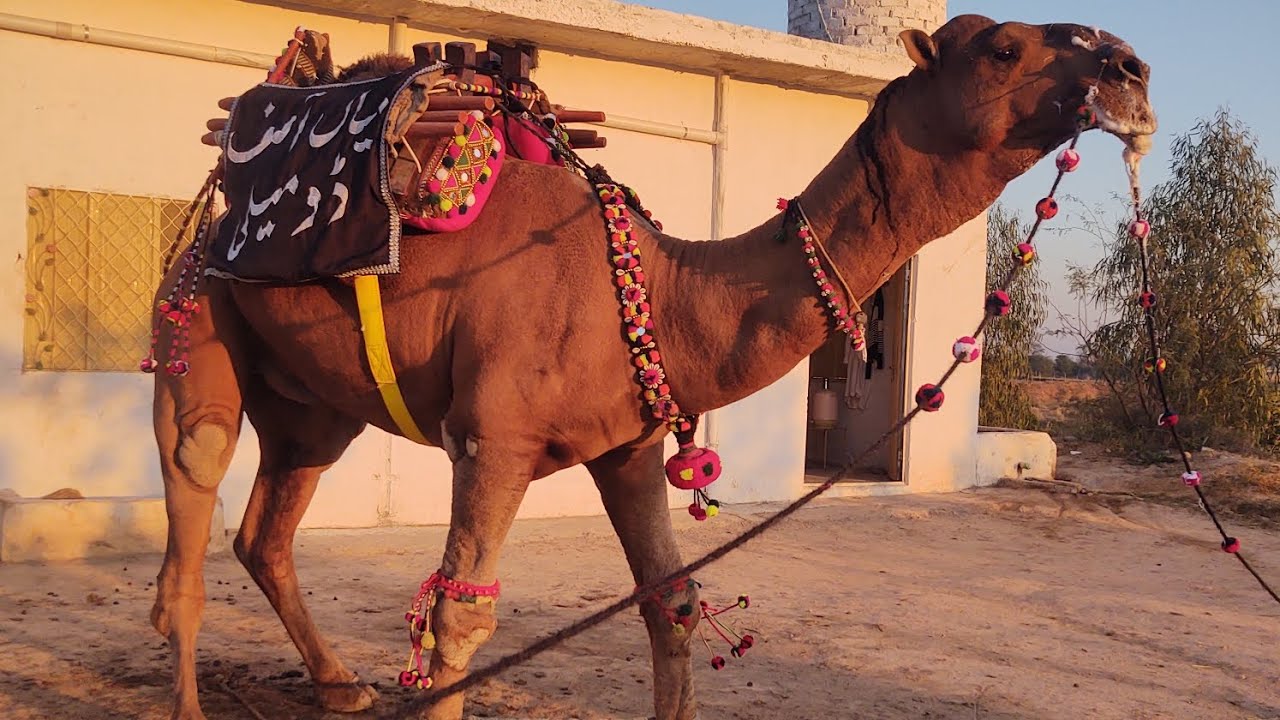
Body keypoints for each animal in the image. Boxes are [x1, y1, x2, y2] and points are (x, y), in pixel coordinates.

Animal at [147, 13, 1155, 720]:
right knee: (196, 470)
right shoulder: (493, 439)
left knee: (268, 527)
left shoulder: (626, 445)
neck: (659, 294)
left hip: (316, 402)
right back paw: (193, 693)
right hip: (198, 303)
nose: (1132, 72)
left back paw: (340, 681)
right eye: (1002, 47)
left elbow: (671, 600)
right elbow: (460, 617)